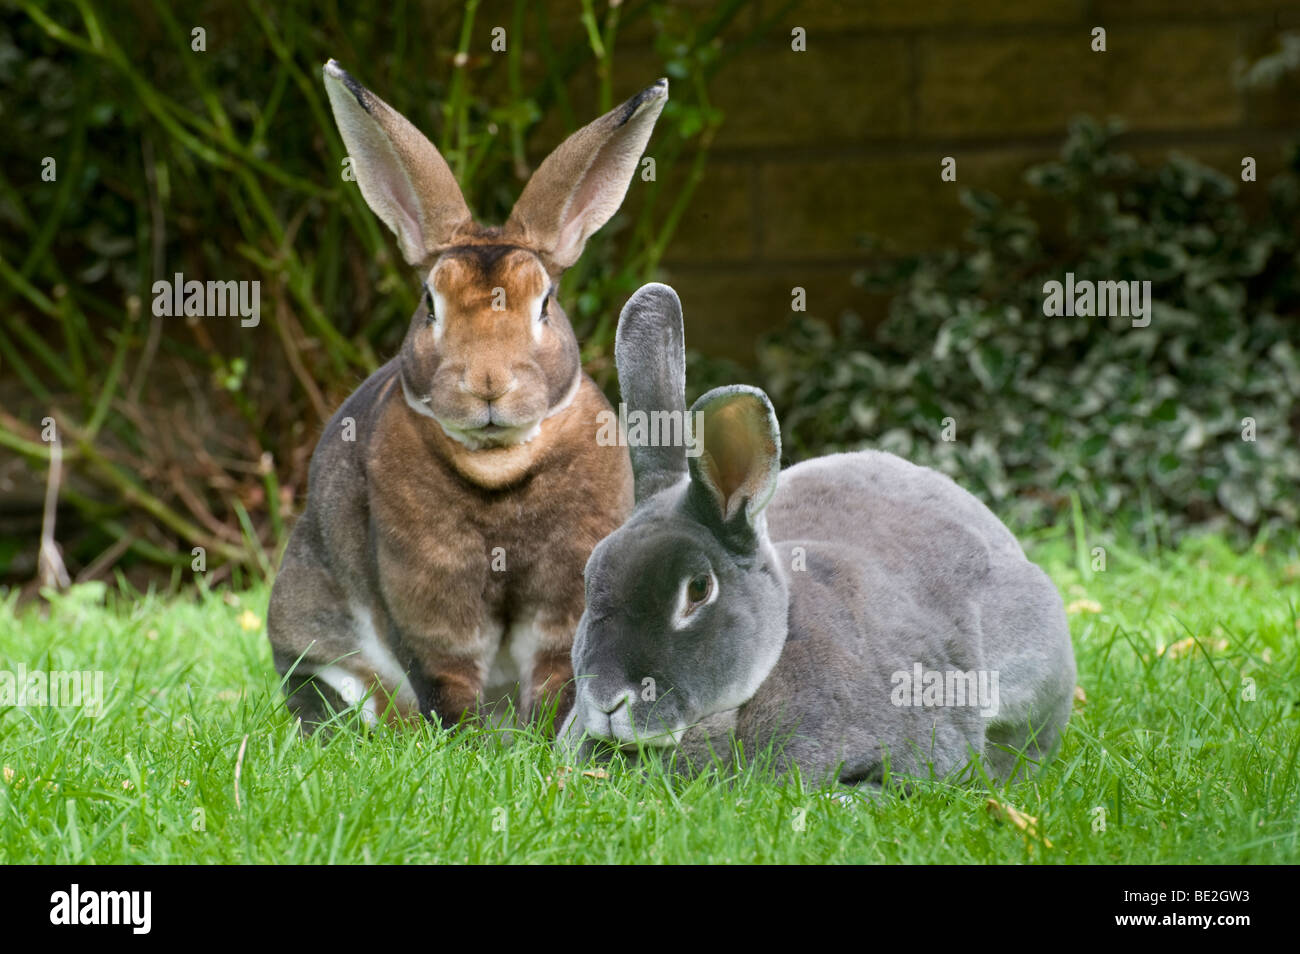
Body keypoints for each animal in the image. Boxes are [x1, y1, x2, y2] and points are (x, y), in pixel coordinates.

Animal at [267, 61, 668, 731]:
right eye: (430, 304)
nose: (487, 383)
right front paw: (463, 741)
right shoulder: (428, 608)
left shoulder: (564, 605)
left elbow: (555, 674)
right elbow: (447, 678)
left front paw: (547, 738)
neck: (498, 462)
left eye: (545, 303)